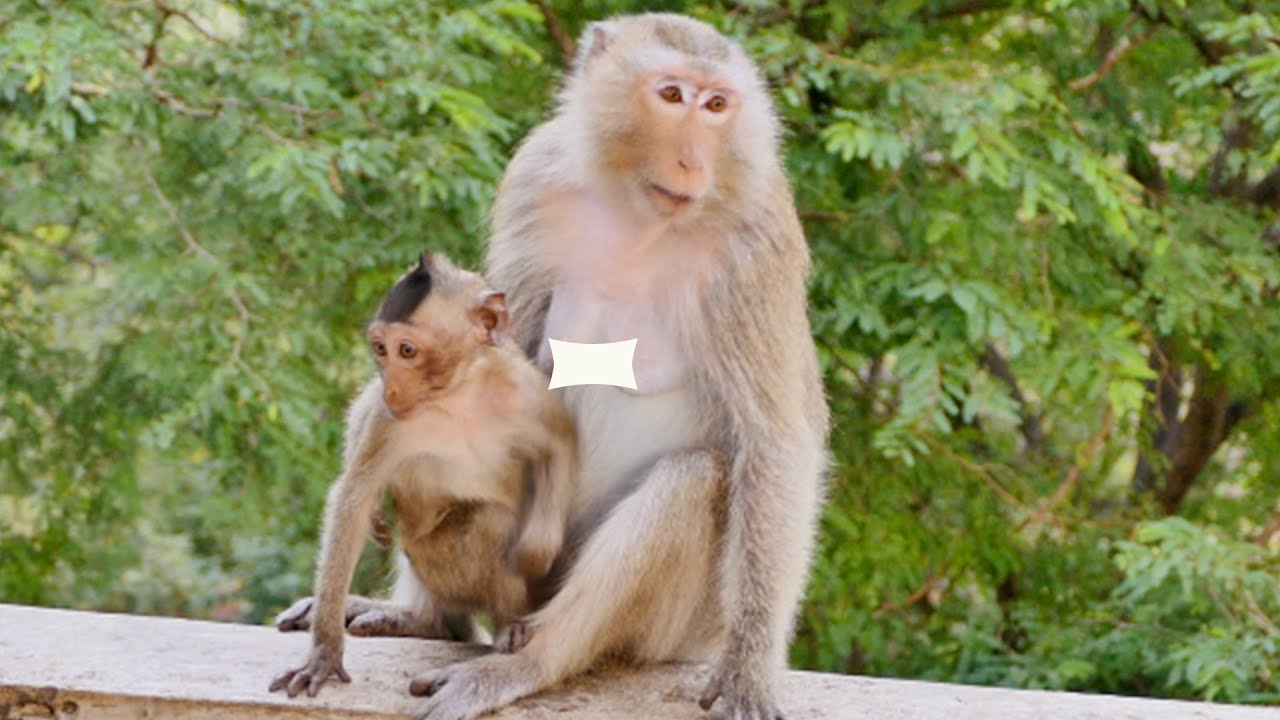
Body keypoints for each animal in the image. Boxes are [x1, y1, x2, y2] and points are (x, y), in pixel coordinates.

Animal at [269, 253, 577, 699]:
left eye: (408, 350)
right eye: (381, 349)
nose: (393, 387)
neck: (459, 394)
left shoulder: (525, 389)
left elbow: (561, 442)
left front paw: (536, 552)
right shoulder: (391, 420)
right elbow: (355, 498)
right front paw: (324, 654)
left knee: (494, 522)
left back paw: (508, 626)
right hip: (433, 565)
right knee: (482, 526)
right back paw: (425, 620)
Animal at [404, 13, 828, 720]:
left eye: (717, 106)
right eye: (672, 96)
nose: (693, 160)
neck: (640, 214)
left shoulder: (756, 244)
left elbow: (774, 441)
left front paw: (748, 674)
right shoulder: (536, 177)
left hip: (680, 624)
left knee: (693, 479)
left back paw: (530, 662)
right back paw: (425, 619)